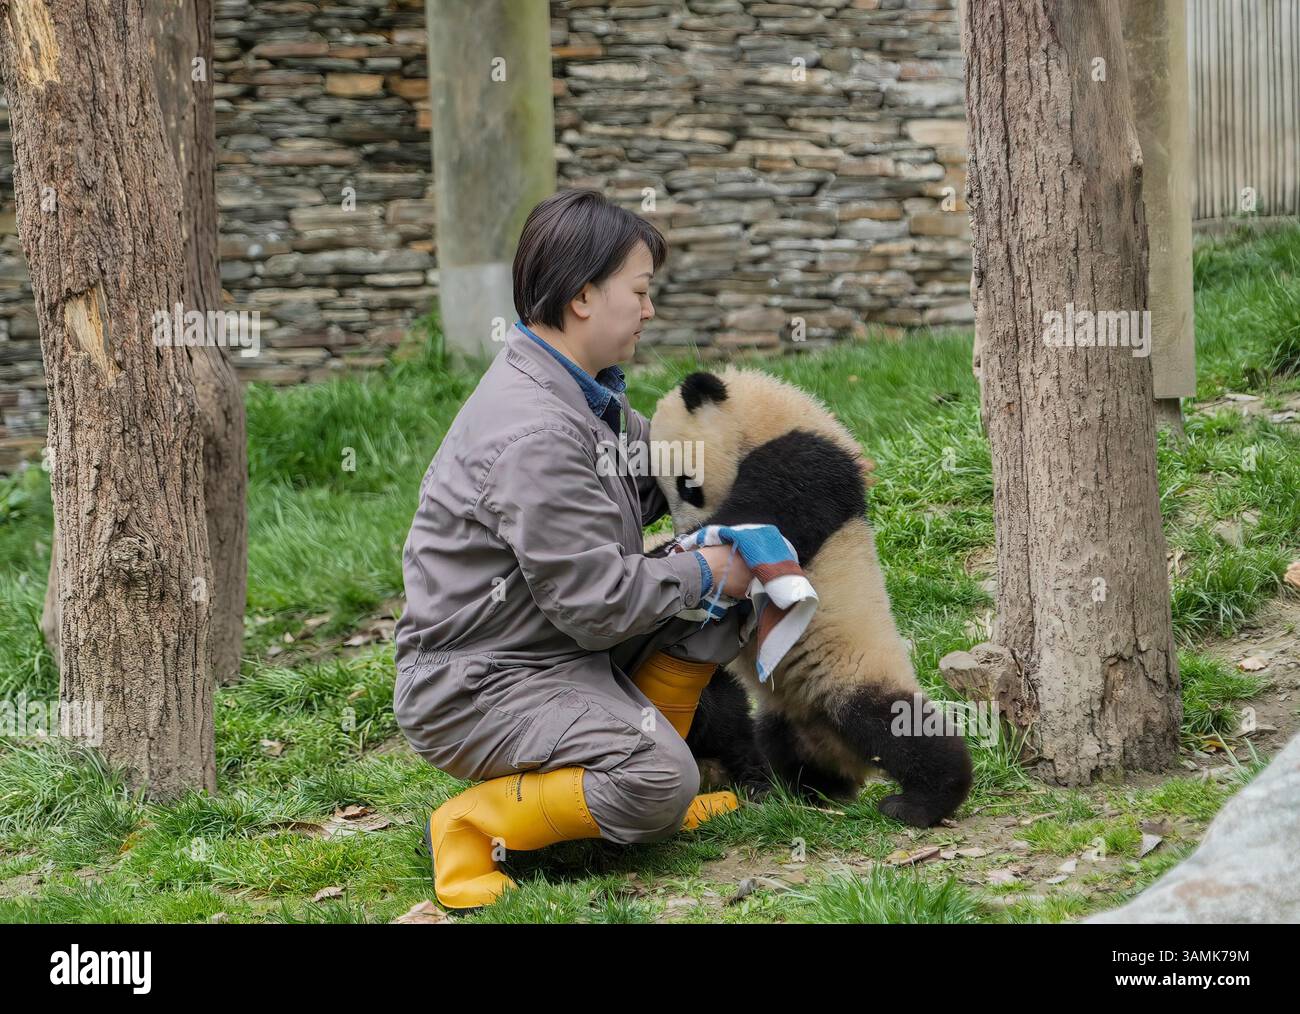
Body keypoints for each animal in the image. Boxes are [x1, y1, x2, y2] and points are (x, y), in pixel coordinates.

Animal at [646, 367, 973, 828]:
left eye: (686, 484)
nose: (682, 528)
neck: (771, 415)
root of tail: (843, 754)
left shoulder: (807, 463)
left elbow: (761, 518)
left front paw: (666, 552)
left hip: (852, 670)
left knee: (897, 723)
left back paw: (920, 800)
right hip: (784, 708)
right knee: (774, 739)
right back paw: (803, 791)